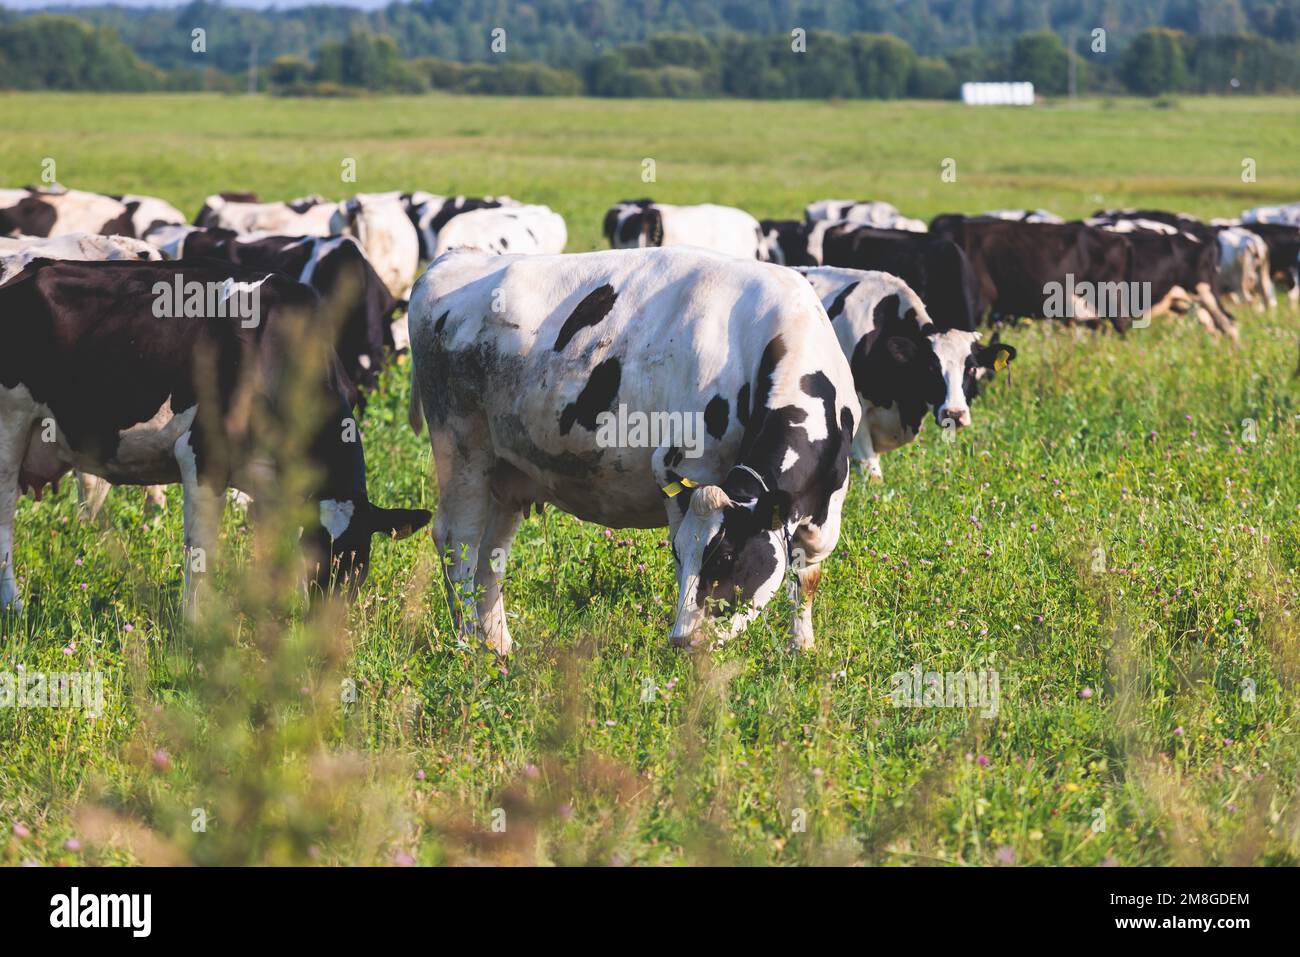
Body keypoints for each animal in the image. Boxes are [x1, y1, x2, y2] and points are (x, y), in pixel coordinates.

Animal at [0, 258, 430, 616]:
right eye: (318, 555)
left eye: (360, 564)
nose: (327, 632)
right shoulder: (202, 455)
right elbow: (201, 549)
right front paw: (194, 625)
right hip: (10, 429)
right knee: (4, 518)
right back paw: (14, 607)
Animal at [407, 246, 860, 654]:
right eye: (692, 555)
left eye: (725, 556)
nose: (683, 642)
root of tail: (454, 258)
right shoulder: (683, 469)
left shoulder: (827, 504)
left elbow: (806, 578)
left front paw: (803, 648)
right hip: (461, 444)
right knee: (459, 542)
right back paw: (467, 642)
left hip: (509, 472)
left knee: (492, 552)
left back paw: (497, 644)